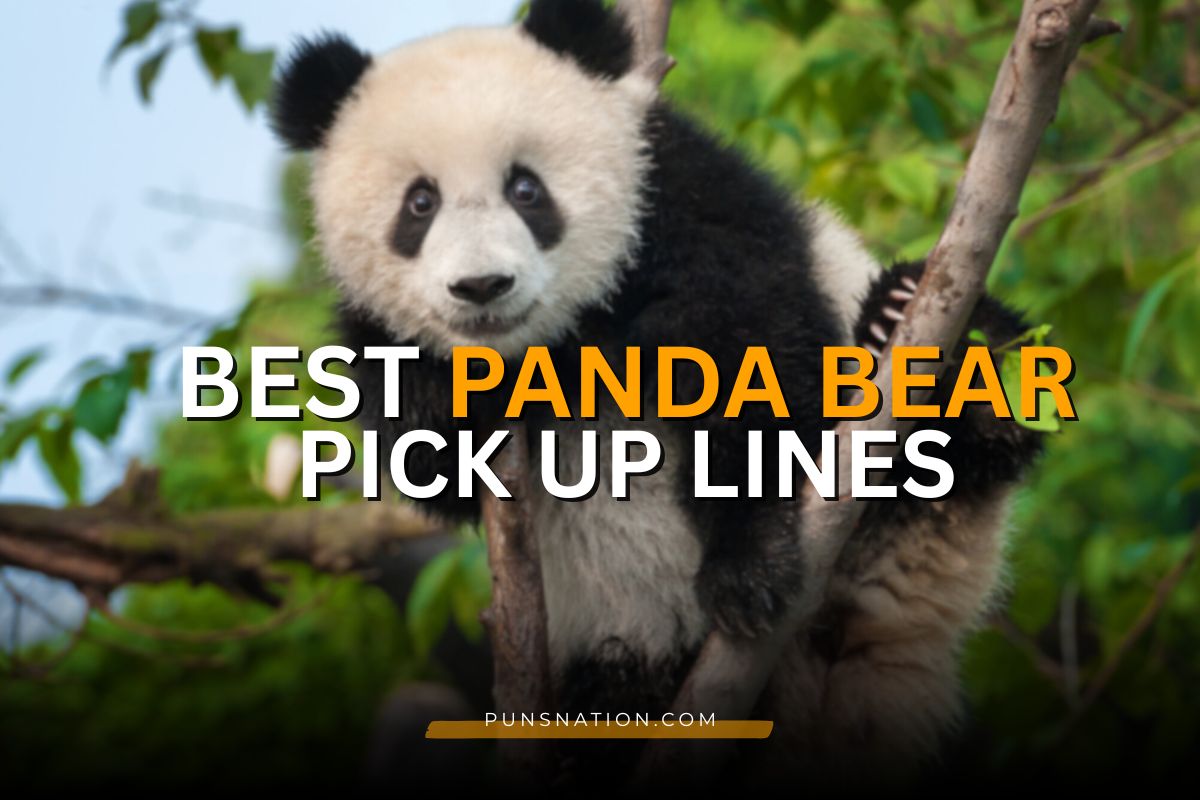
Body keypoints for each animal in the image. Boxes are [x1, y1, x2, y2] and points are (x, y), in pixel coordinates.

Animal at [272, 0, 1042, 783]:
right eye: (419, 203)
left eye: (527, 189)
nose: (483, 287)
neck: (555, 340)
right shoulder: (375, 334)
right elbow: (433, 468)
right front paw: (447, 402)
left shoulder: (680, 201)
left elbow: (749, 359)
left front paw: (746, 571)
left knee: (954, 449)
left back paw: (925, 338)